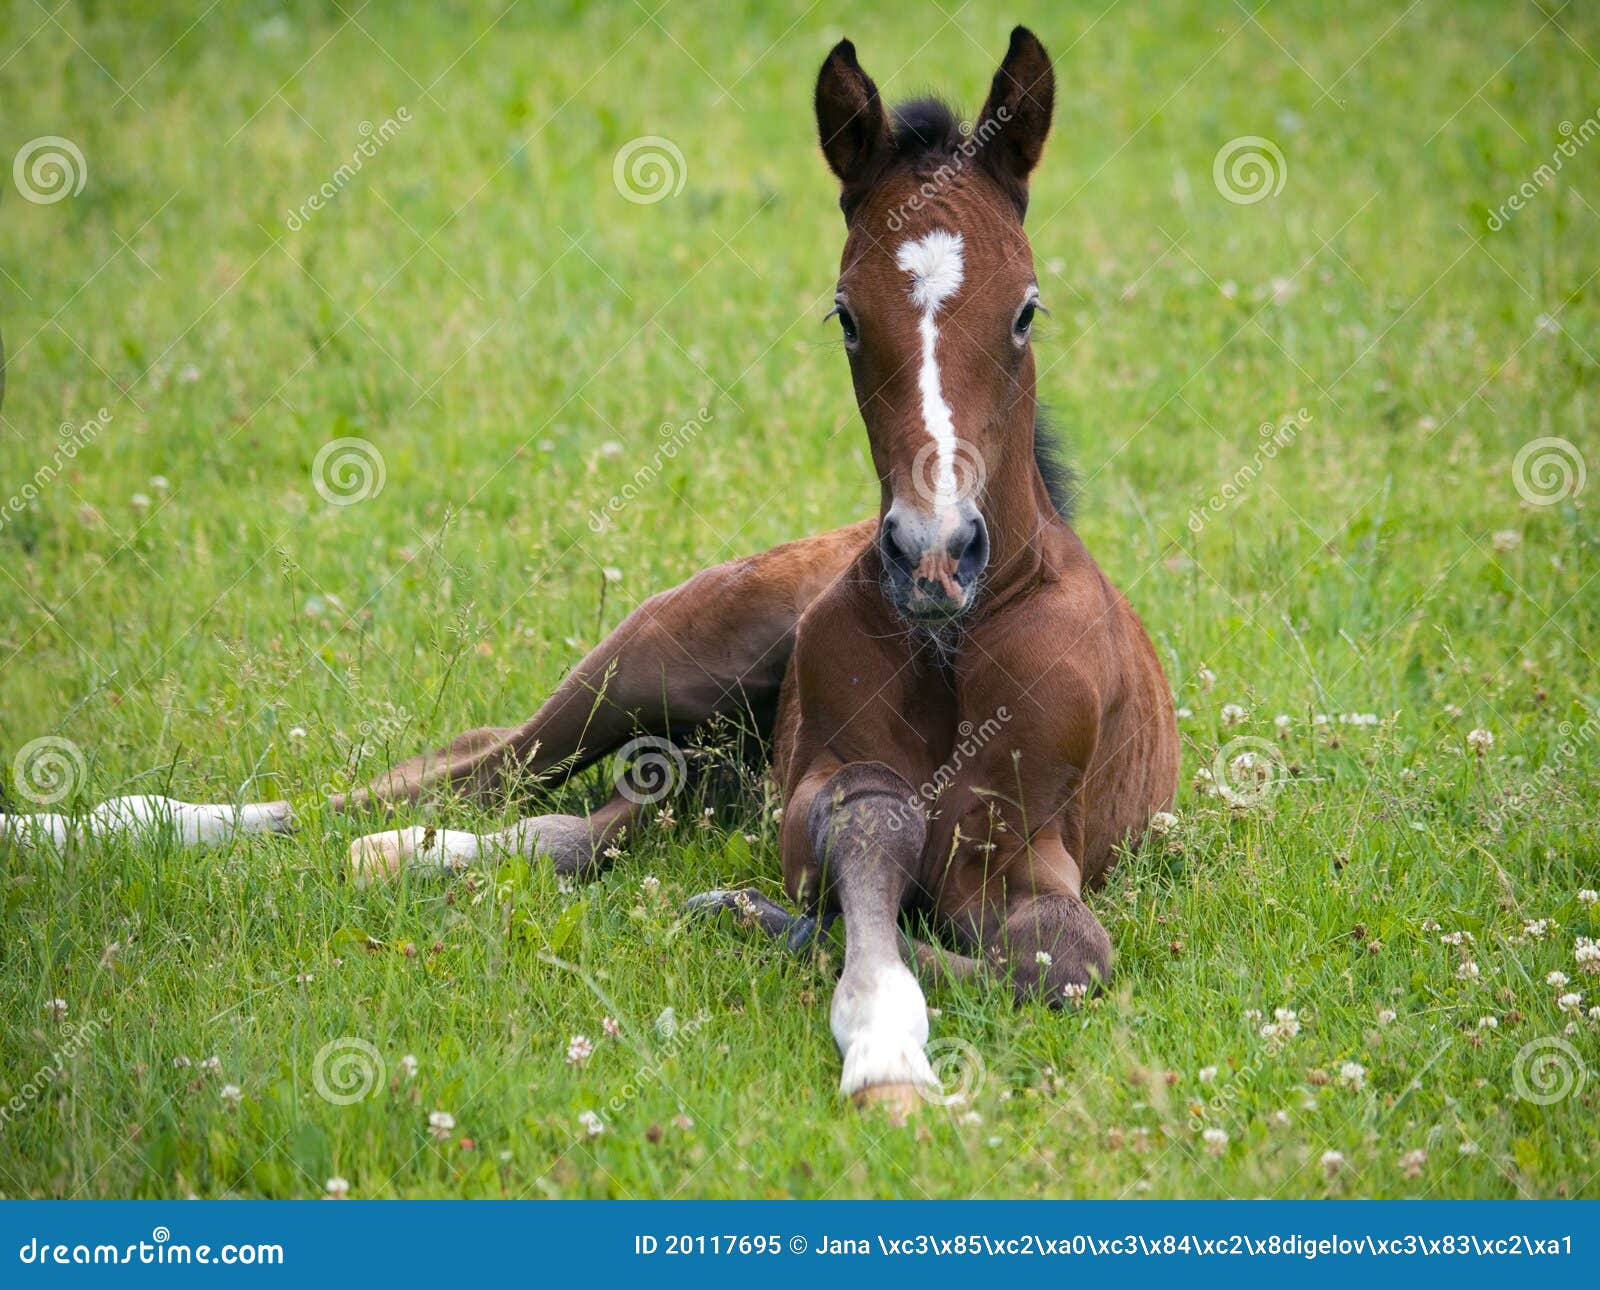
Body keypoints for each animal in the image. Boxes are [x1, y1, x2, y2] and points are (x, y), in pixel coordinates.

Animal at [1, 27, 1178, 1112]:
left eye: (1026, 308)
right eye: (846, 316)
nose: (932, 554)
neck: (953, 643)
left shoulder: (1022, 850)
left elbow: (1063, 961)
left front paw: (765, 929)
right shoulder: (831, 785)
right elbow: (870, 838)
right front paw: (882, 1045)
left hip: (699, 750)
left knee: (590, 818)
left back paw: (417, 855)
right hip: (660, 660)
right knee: (478, 767)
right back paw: (81, 826)